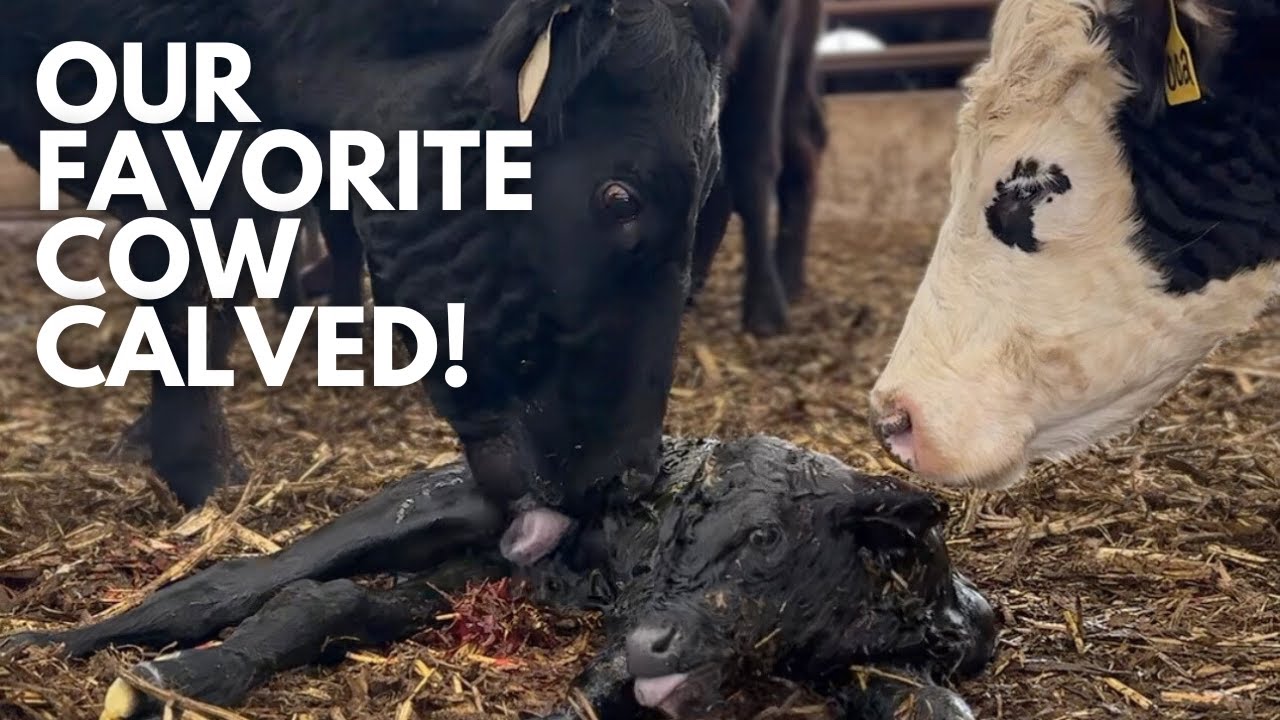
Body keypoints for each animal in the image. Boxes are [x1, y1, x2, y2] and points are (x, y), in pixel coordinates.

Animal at [0, 435, 996, 720]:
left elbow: (936, 703)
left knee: (323, 603)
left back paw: (187, 678)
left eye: (765, 536)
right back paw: (68, 650)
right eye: (678, 535)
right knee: (242, 580)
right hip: (424, 504)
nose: (651, 638)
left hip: (455, 581)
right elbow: (585, 704)